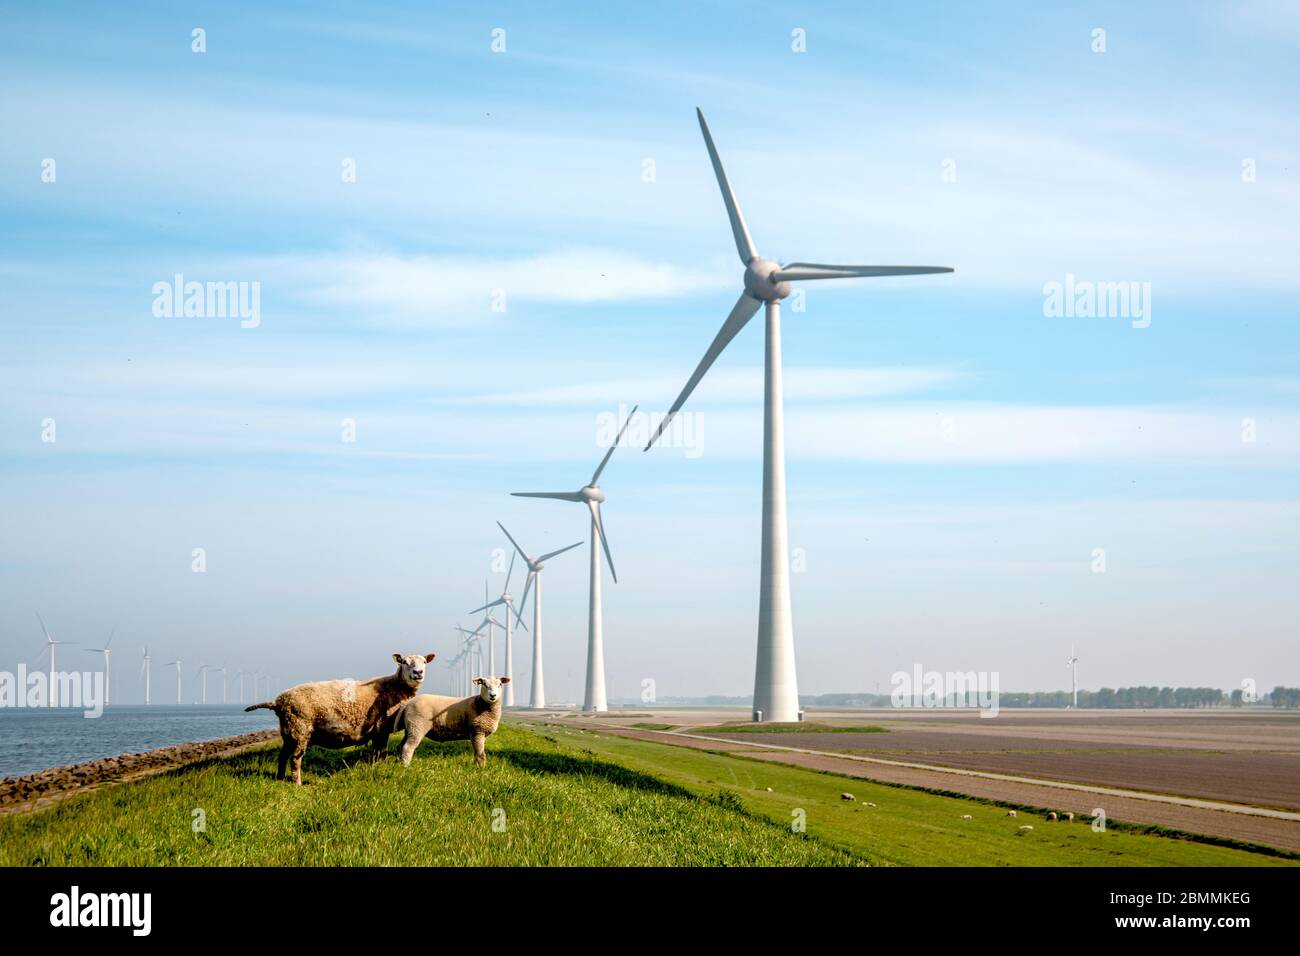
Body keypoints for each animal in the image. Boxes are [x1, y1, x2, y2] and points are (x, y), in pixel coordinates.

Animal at [245, 652, 433, 785]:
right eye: (404, 662)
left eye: (424, 662)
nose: (418, 673)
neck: (394, 686)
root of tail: (279, 701)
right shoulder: (381, 728)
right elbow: (380, 753)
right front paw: (379, 768)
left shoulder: (379, 731)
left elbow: (378, 753)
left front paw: (378, 767)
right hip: (300, 730)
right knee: (295, 758)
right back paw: (297, 783)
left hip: (288, 732)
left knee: (282, 756)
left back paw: (280, 778)